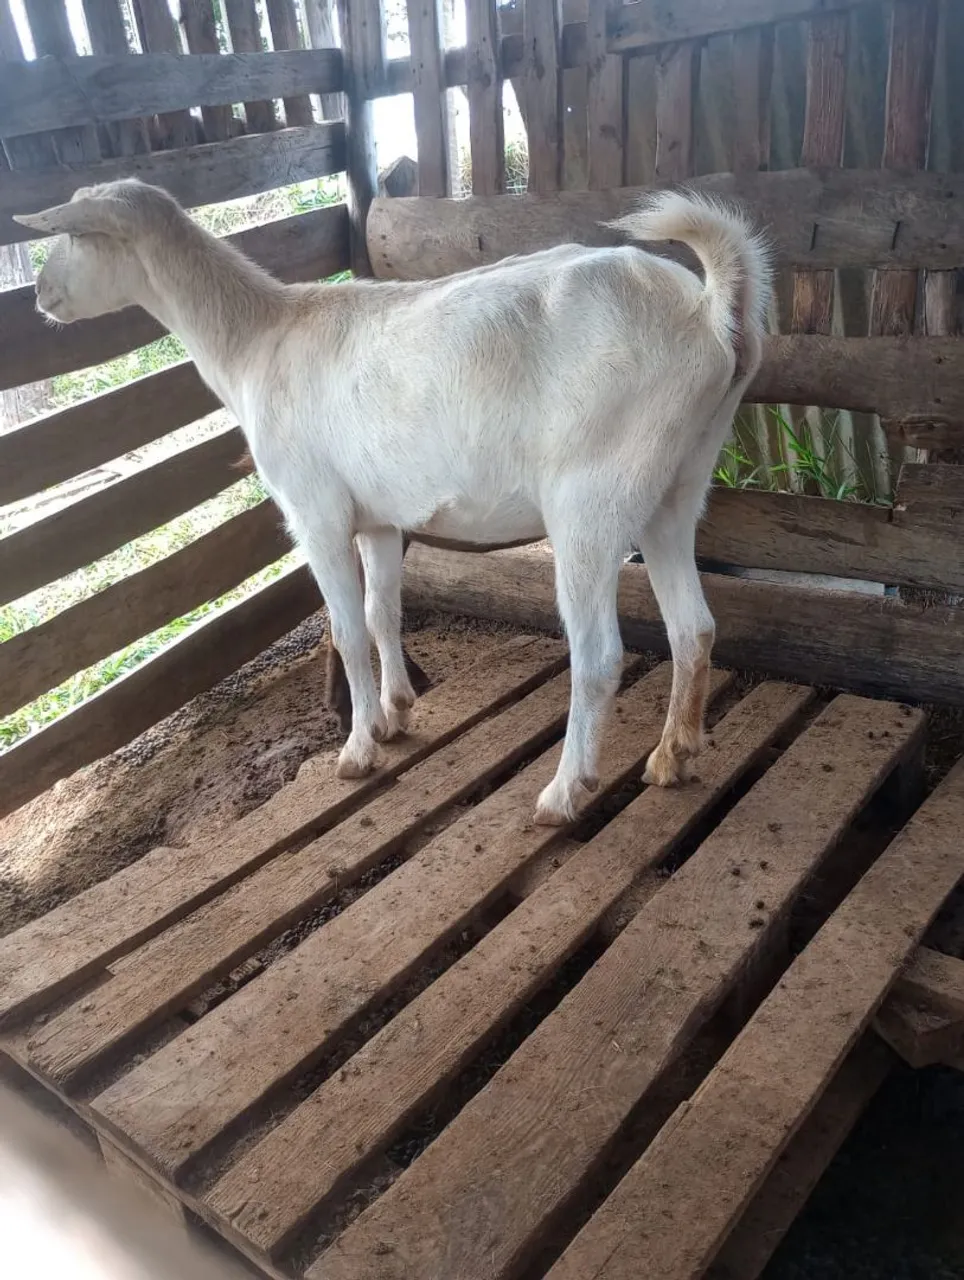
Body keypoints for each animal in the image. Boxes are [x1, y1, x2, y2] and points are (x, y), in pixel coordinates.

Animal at [16, 182, 771, 825]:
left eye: (75, 235)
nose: (42, 297)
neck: (259, 339)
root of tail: (708, 312)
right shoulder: (377, 519)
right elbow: (383, 612)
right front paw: (396, 712)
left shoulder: (314, 511)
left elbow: (347, 627)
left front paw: (357, 749)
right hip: (678, 482)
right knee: (694, 627)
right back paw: (671, 758)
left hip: (592, 494)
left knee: (600, 654)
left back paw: (562, 793)